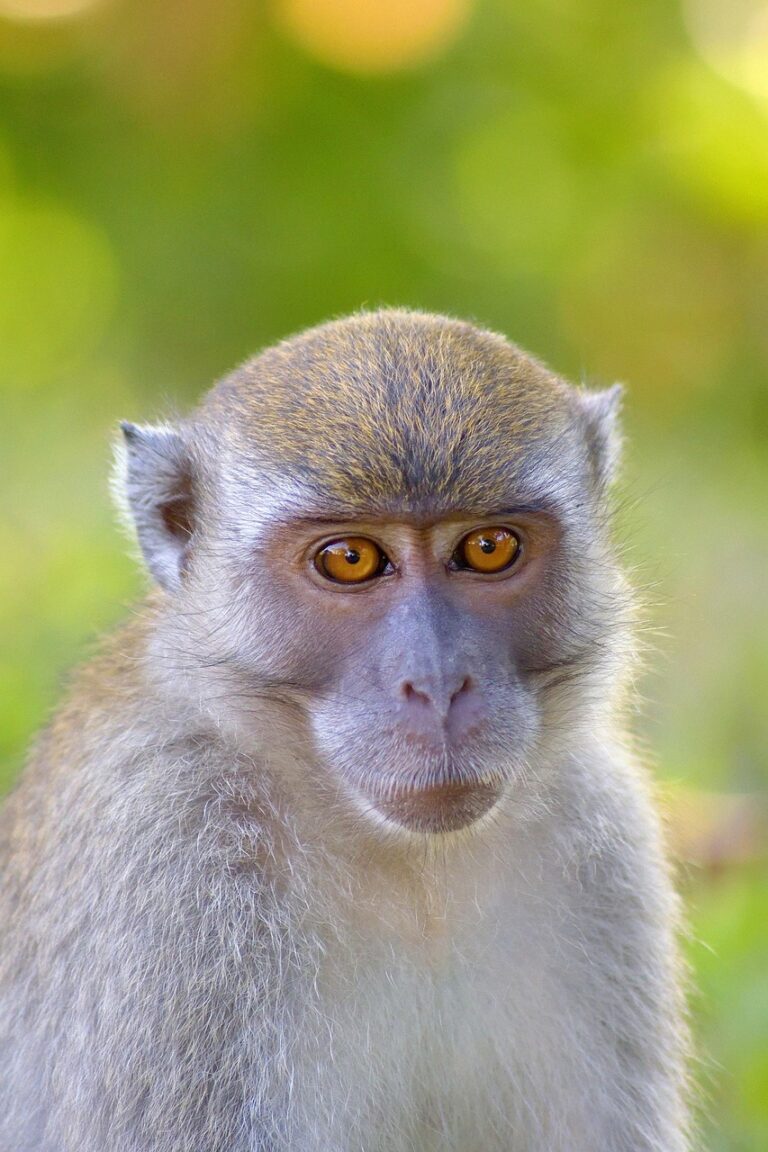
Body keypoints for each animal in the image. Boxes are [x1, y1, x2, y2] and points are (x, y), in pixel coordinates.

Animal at [0, 309, 689, 1151]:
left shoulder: (601, 839)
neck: (414, 872)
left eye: (488, 547)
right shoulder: (172, 858)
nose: (436, 683)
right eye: (351, 559)